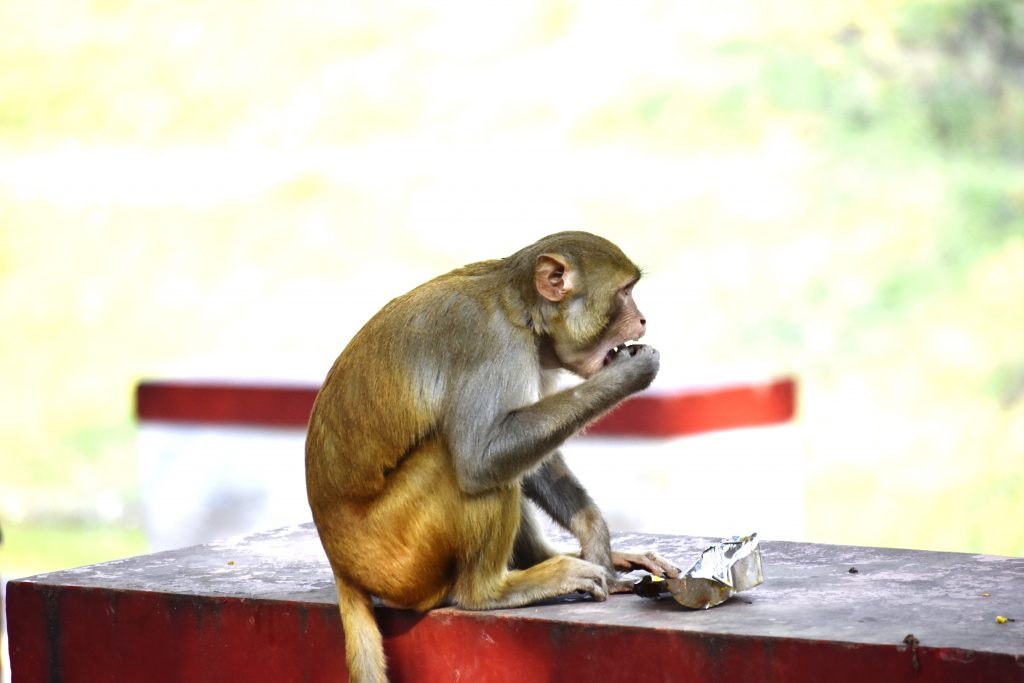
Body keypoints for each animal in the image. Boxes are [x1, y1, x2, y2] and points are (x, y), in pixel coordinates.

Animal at [306, 231, 679, 683]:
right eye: (624, 293)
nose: (642, 319)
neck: (521, 310)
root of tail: (342, 566)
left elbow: (526, 459)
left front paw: (596, 537)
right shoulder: (493, 344)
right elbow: (481, 456)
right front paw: (629, 373)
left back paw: (549, 561)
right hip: (395, 560)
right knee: (459, 465)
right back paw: (491, 591)